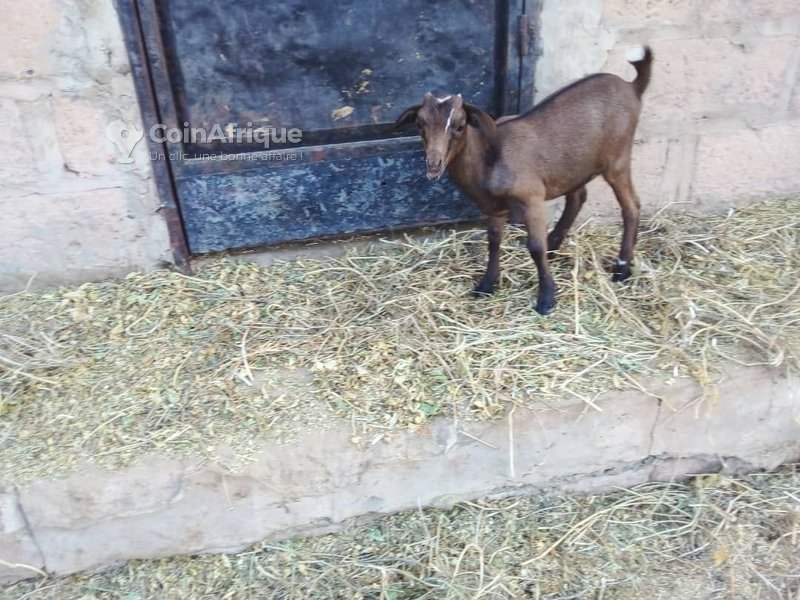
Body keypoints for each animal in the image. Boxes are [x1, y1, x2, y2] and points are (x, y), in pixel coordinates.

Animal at [393, 47, 653, 315]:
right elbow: (493, 240)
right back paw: (555, 245)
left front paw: (546, 299)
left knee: (631, 206)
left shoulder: (532, 198)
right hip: (573, 165)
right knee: (577, 197)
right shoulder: (495, 207)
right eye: (420, 123)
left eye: (460, 125)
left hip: (617, 159)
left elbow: (535, 247)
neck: (489, 157)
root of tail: (632, 86)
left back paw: (622, 268)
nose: (434, 164)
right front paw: (486, 285)